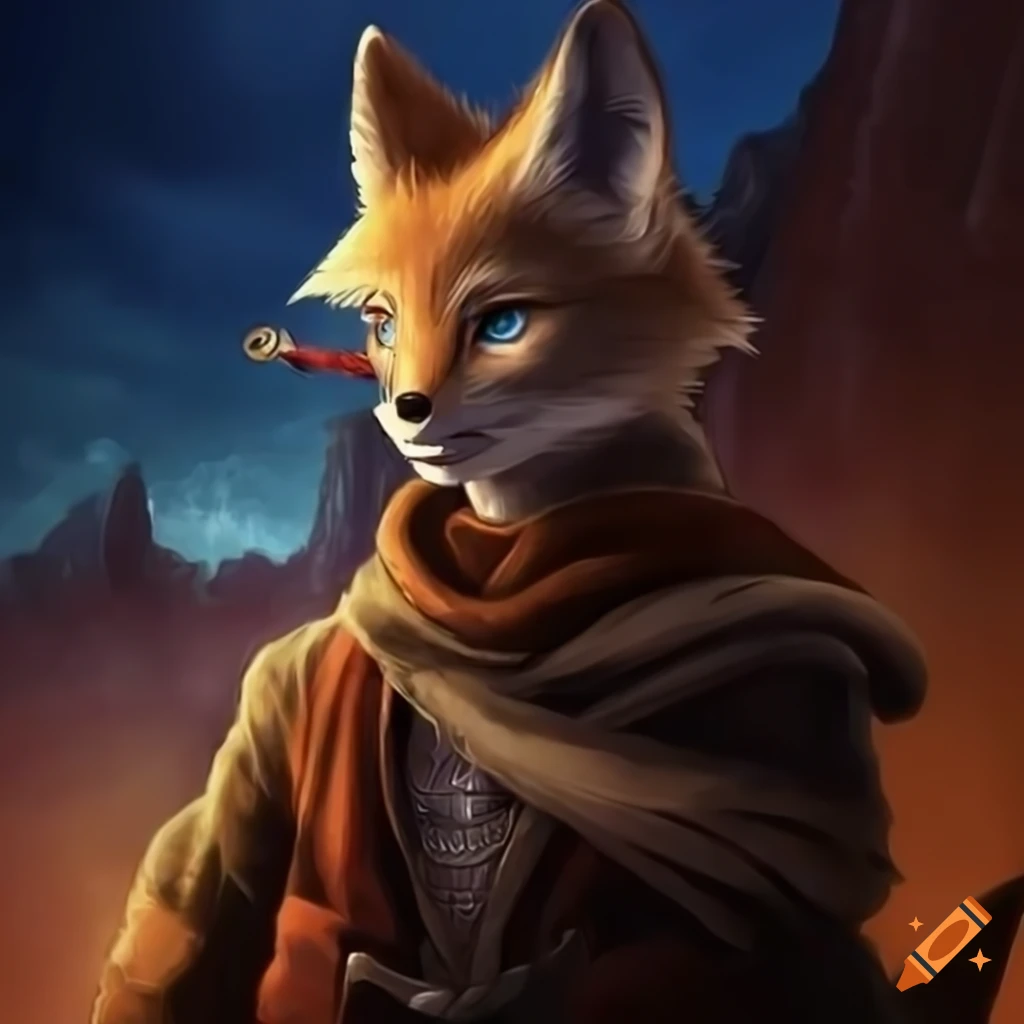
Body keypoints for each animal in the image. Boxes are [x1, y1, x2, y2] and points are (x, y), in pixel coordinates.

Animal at [97, 4, 1022, 1024]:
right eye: (383, 324)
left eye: (502, 324)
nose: (406, 410)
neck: (507, 579)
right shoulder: (276, 693)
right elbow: (196, 907)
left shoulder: (807, 725)